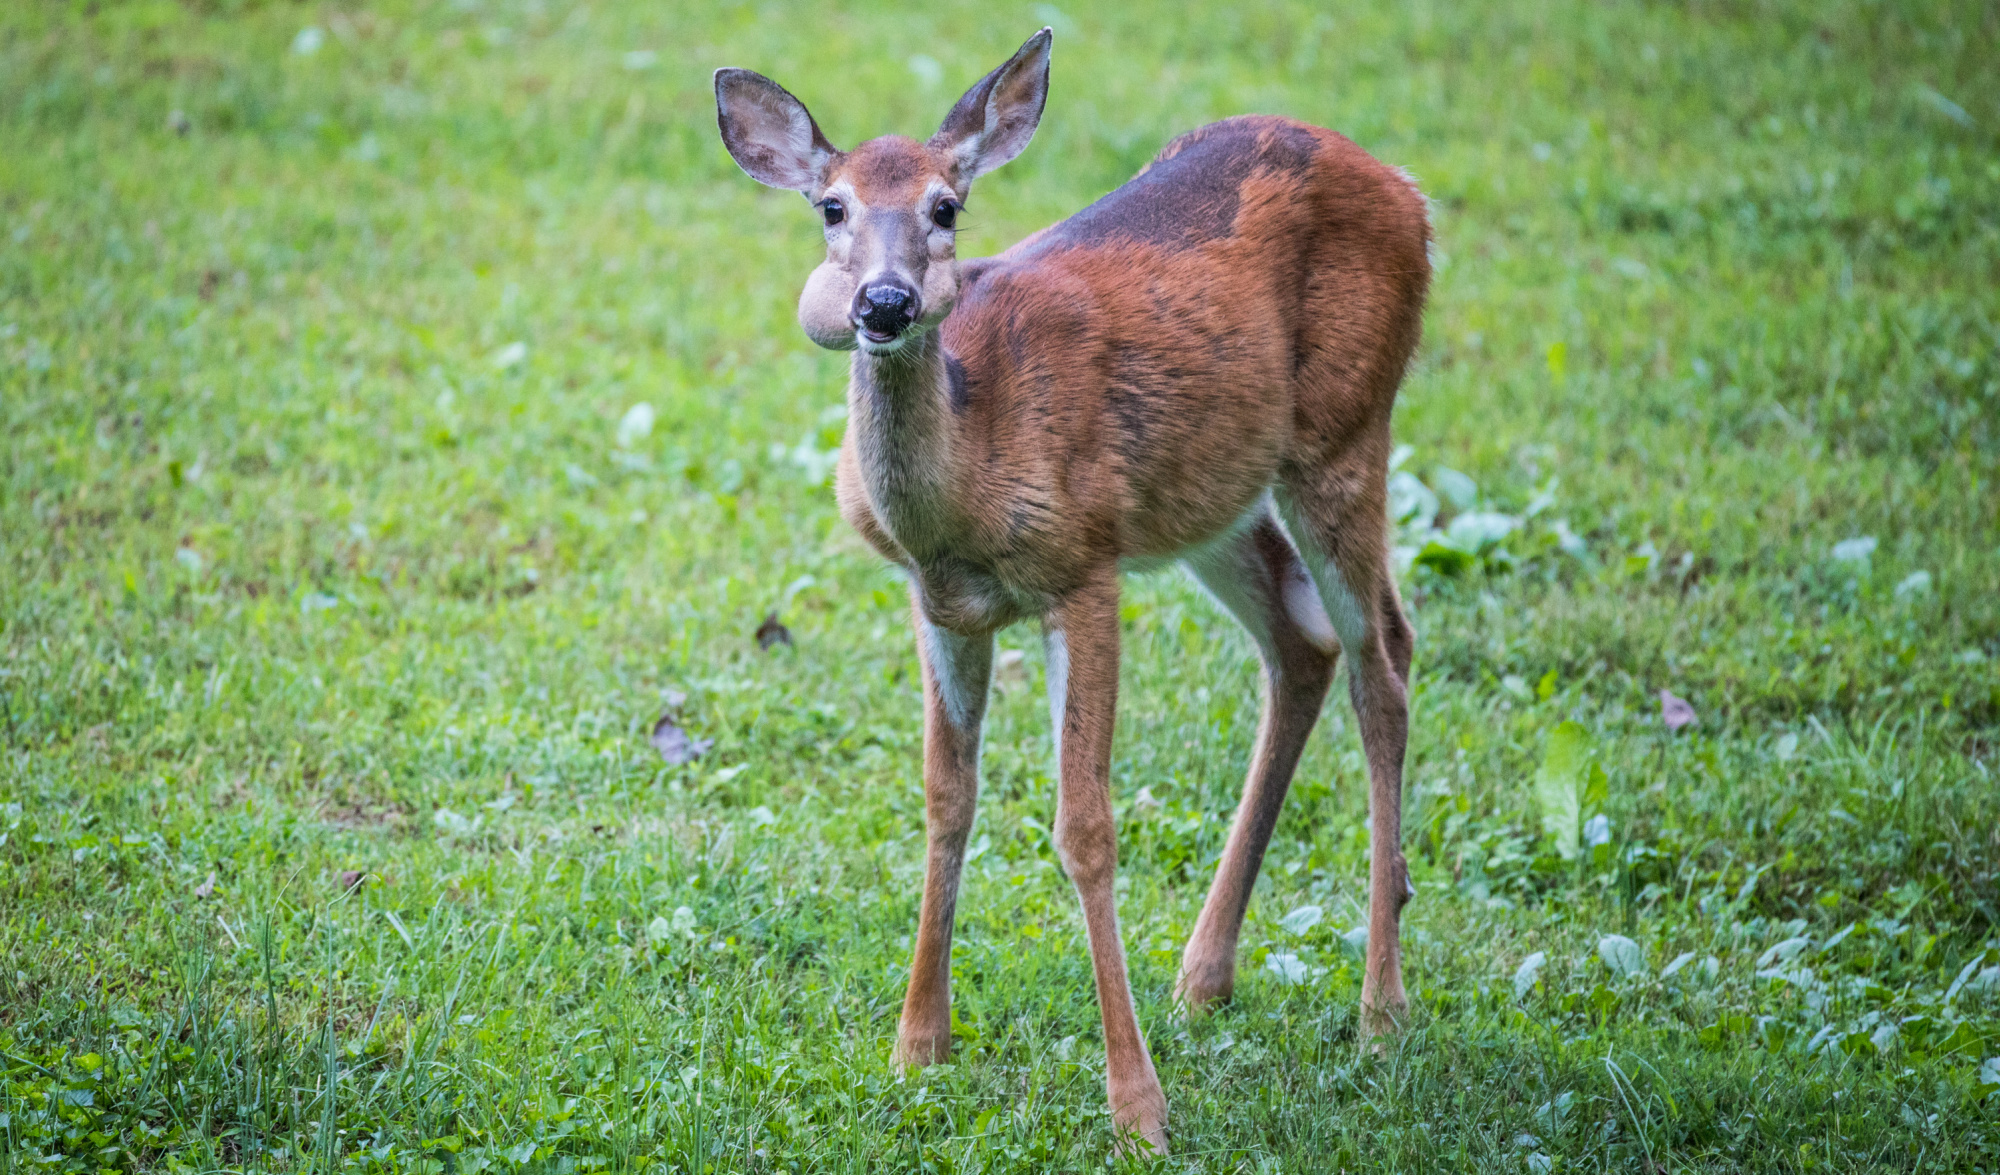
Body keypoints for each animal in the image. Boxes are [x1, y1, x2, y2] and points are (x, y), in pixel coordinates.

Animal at [715, 27, 1429, 1154]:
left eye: (945, 206)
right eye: (829, 205)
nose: (884, 303)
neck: (967, 475)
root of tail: (1407, 189)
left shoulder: (1083, 569)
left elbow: (1084, 828)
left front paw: (1137, 1107)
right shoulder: (939, 604)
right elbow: (946, 796)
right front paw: (918, 1043)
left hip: (1343, 433)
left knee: (1383, 658)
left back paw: (1381, 1009)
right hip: (1208, 493)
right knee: (1299, 641)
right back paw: (1203, 973)